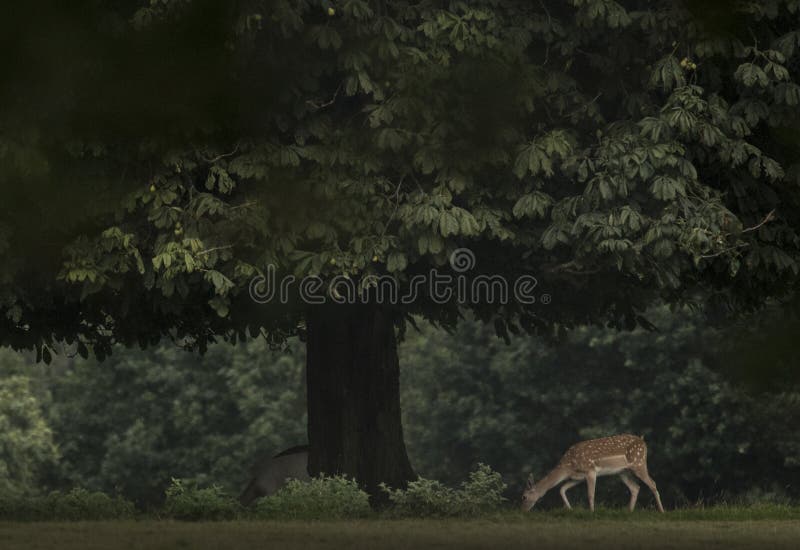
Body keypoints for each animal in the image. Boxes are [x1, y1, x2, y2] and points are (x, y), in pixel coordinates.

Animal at [520, 434, 664, 513]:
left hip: (639, 463)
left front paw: (592, 513)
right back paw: (629, 511)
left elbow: (590, 494)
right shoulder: (577, 477)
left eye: (524, 497)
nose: (523, 511)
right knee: (635, 487)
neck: (568, 466)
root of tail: (643, 441)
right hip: (622, 471)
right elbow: (562, 489)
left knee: (652, 483)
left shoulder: (590, 470)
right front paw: (570, 509)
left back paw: (662, 511)